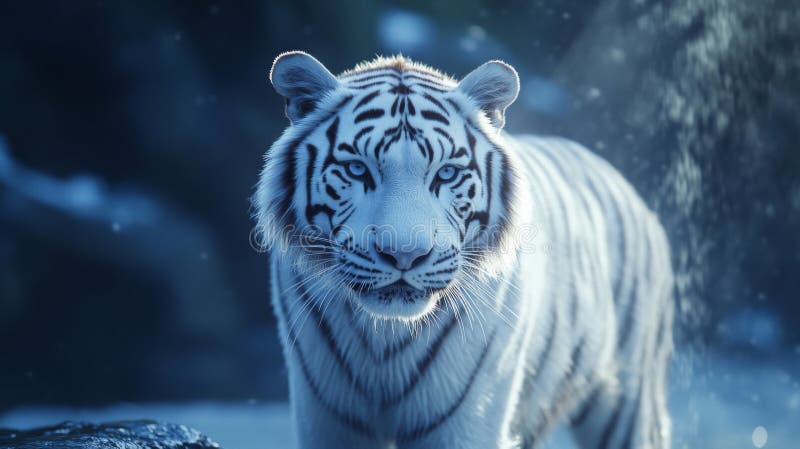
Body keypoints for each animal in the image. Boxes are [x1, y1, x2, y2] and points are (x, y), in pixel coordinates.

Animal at [253, 51, 674, 449]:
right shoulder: (326, 416)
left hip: (629, 400)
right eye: (357, 169)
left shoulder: (468, 418)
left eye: (447, 173)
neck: (384, 337)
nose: (404, 255)